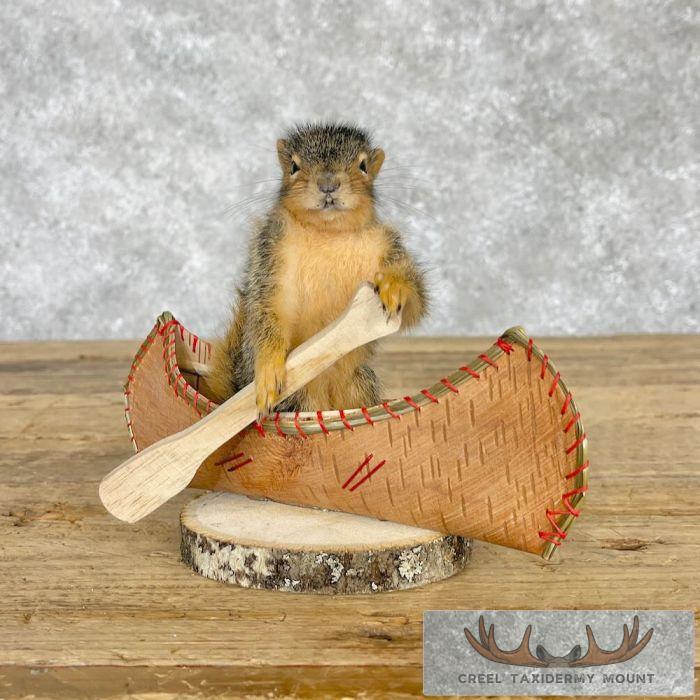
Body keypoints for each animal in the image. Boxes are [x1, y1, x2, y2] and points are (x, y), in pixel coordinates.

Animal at [208, 122, 428, 418]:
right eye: (293, 166)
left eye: (363, 166)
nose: (328, 184)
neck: (329, 232)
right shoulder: (271, 253)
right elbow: (270, 309)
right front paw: (268, 368)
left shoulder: (388, 246)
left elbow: (415, 305)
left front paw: (395, 286)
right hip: (299, 398)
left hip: (358, 386)